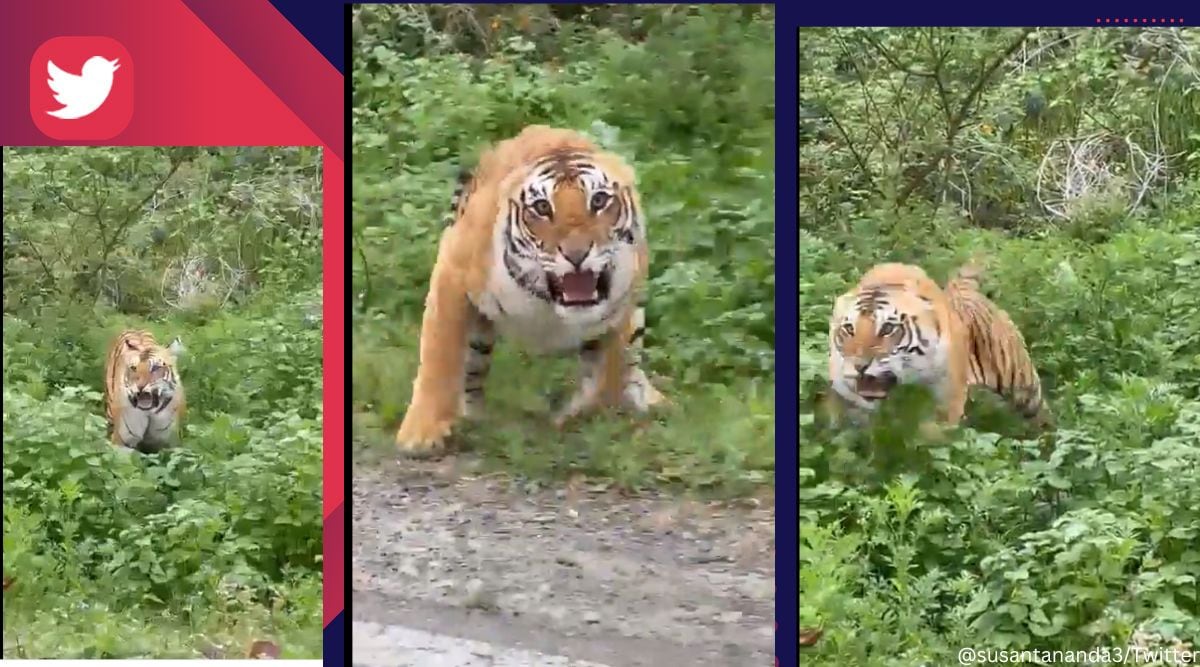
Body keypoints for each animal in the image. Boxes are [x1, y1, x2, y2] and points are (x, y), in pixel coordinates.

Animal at [396, 125, 667, 457]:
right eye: (542, 208)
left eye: (599, 201)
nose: (576, 254)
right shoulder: (453, 275)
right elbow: (439, 357)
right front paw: (421, 434)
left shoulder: (621, 309)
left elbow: (610, 373)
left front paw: (582, 416)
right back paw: (473, 419)